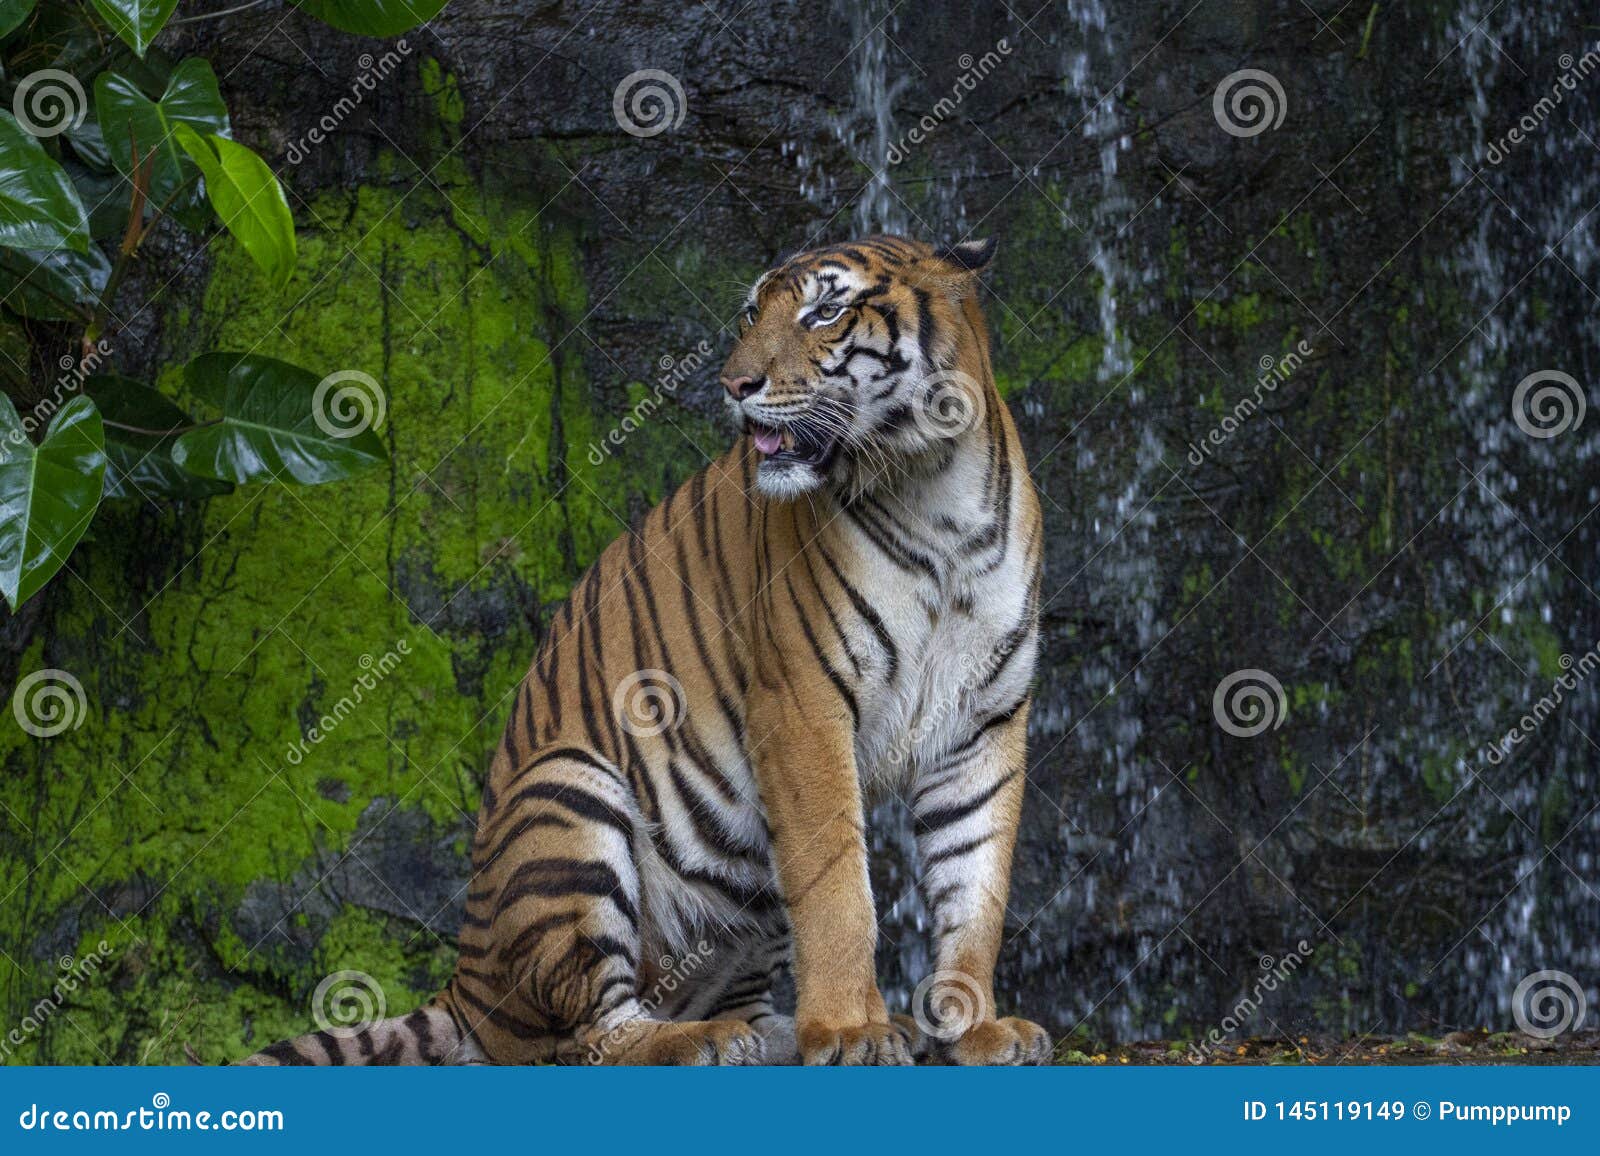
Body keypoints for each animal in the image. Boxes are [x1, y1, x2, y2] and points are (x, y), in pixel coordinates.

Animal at [242, 234, 1049, 1066]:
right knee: (588, 1037)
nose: (733, 384)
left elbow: (976, 885)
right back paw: (706, 1040)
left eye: (825, 311)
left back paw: (771, 1034)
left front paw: (975, 1028)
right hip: (570, 792)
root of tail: (465, 980)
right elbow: (838, 890)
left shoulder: (985, 722)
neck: (934, 490)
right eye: (751, 313)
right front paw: (852, 1031)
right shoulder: (804, 706)